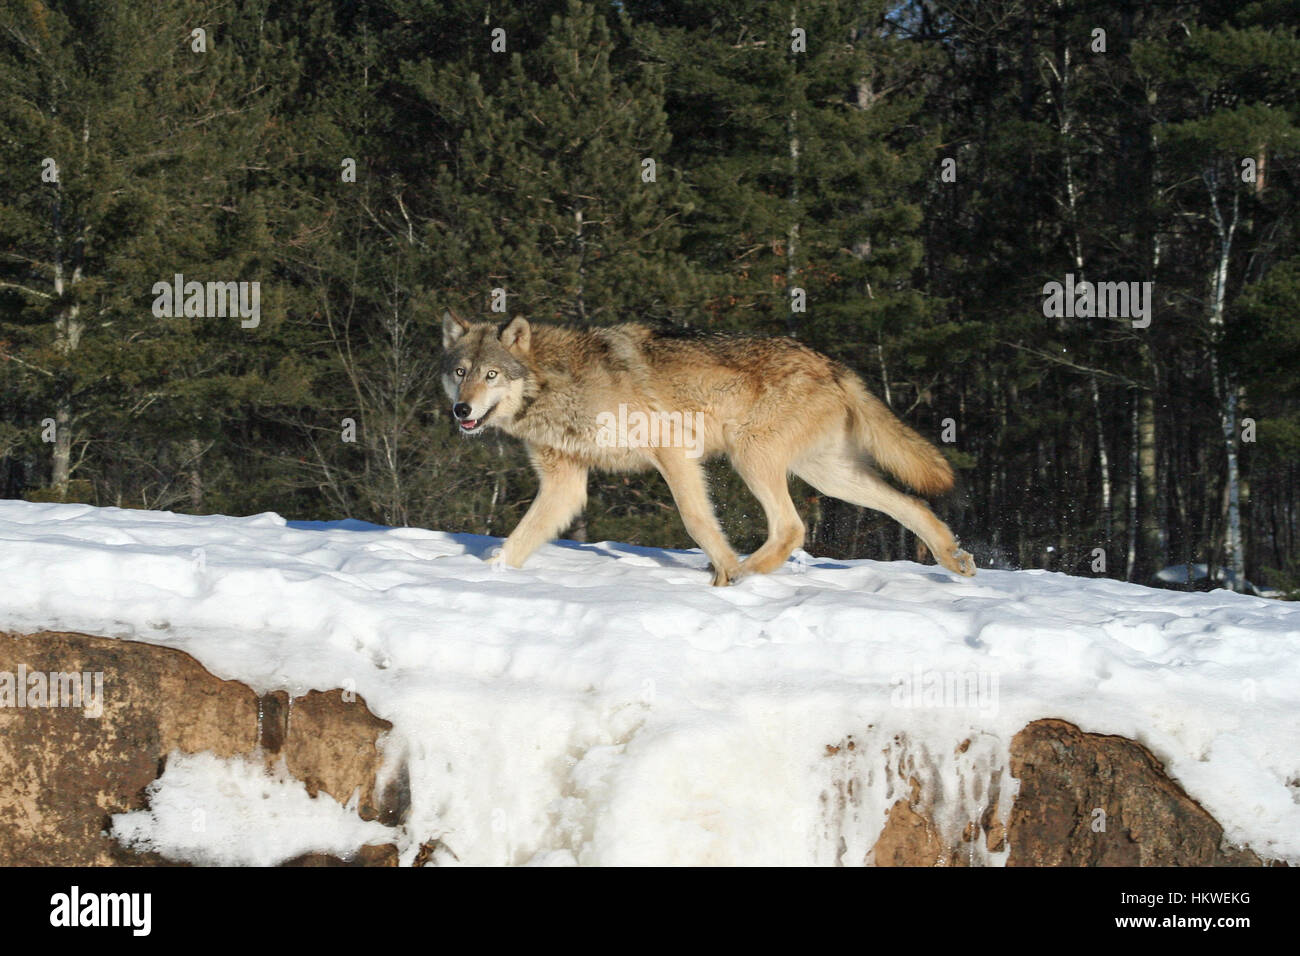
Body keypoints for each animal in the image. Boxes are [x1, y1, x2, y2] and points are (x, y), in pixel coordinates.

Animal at [441, 311, 976, 585]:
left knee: (792, 528)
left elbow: (698, 521)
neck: (556, 384)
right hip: (828, 477)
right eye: (461, 372)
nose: (462, 410)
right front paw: (484, 578)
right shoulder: (564, 484)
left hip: (752, 457)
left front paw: (724, 568)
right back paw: (953, 558)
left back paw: (744, 574)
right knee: (911, 504)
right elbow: (517, 542)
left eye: (492, 374)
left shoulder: (673, 451)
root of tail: (833, 365)